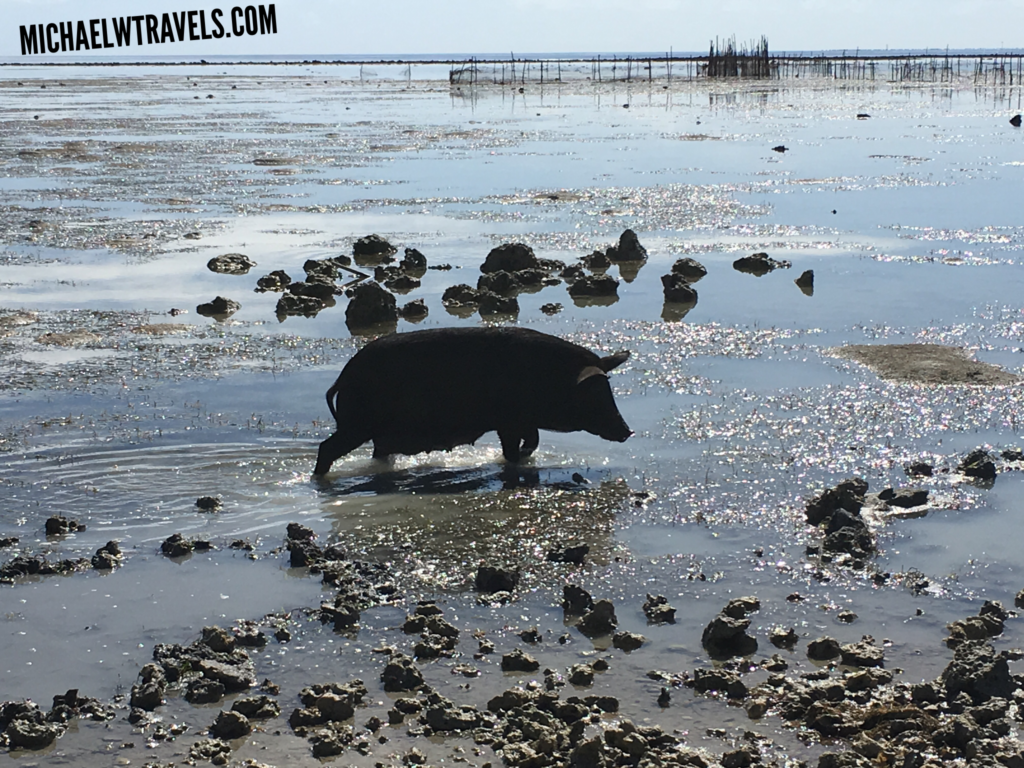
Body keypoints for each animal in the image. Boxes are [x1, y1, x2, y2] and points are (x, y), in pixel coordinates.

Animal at [313, 327, 631, 476]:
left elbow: (534, 441)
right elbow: (514, 448)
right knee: (326, 448)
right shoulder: (508, 422)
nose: (628, 431)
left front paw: (525, 456)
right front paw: (515, 460)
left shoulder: (524, 422)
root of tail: (343, 377)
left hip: (375, 434)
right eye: (595, 394)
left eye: (608, 390)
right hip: (357, 425)